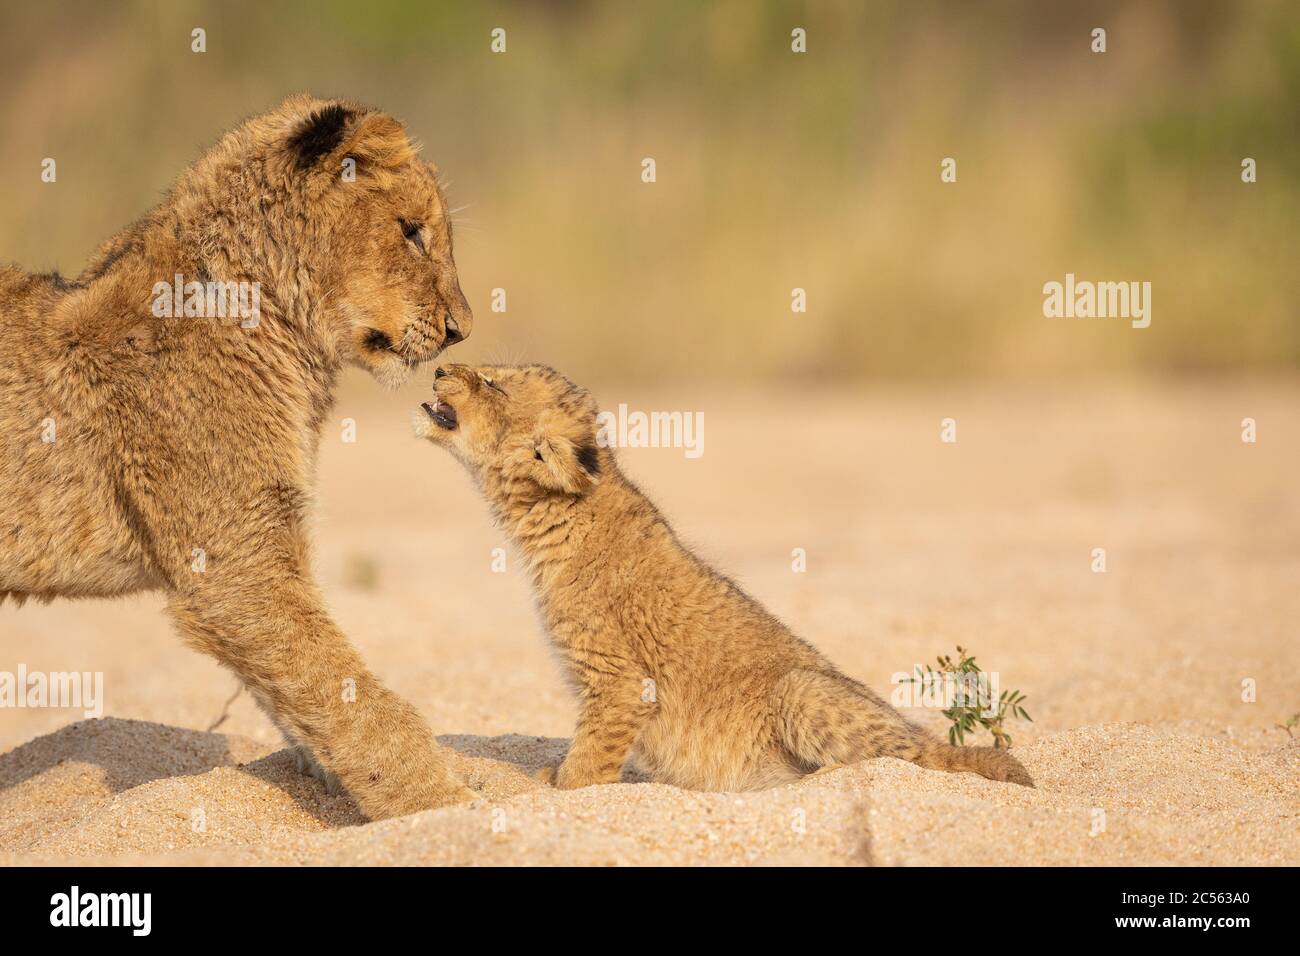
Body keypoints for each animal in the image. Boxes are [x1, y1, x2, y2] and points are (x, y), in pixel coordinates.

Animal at [0, 95, 477, 819]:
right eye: (412, 232)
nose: (461, 330)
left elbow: (306, 690)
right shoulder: (236, 564)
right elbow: (352, 695)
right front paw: (443, 806)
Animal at [416, 364, 1034, 791]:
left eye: (493, 384)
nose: (442, 368)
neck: (551, 518)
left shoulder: (620, 680)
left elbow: (592, 757)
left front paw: (566, 787)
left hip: (802, 690)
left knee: (904, 761)